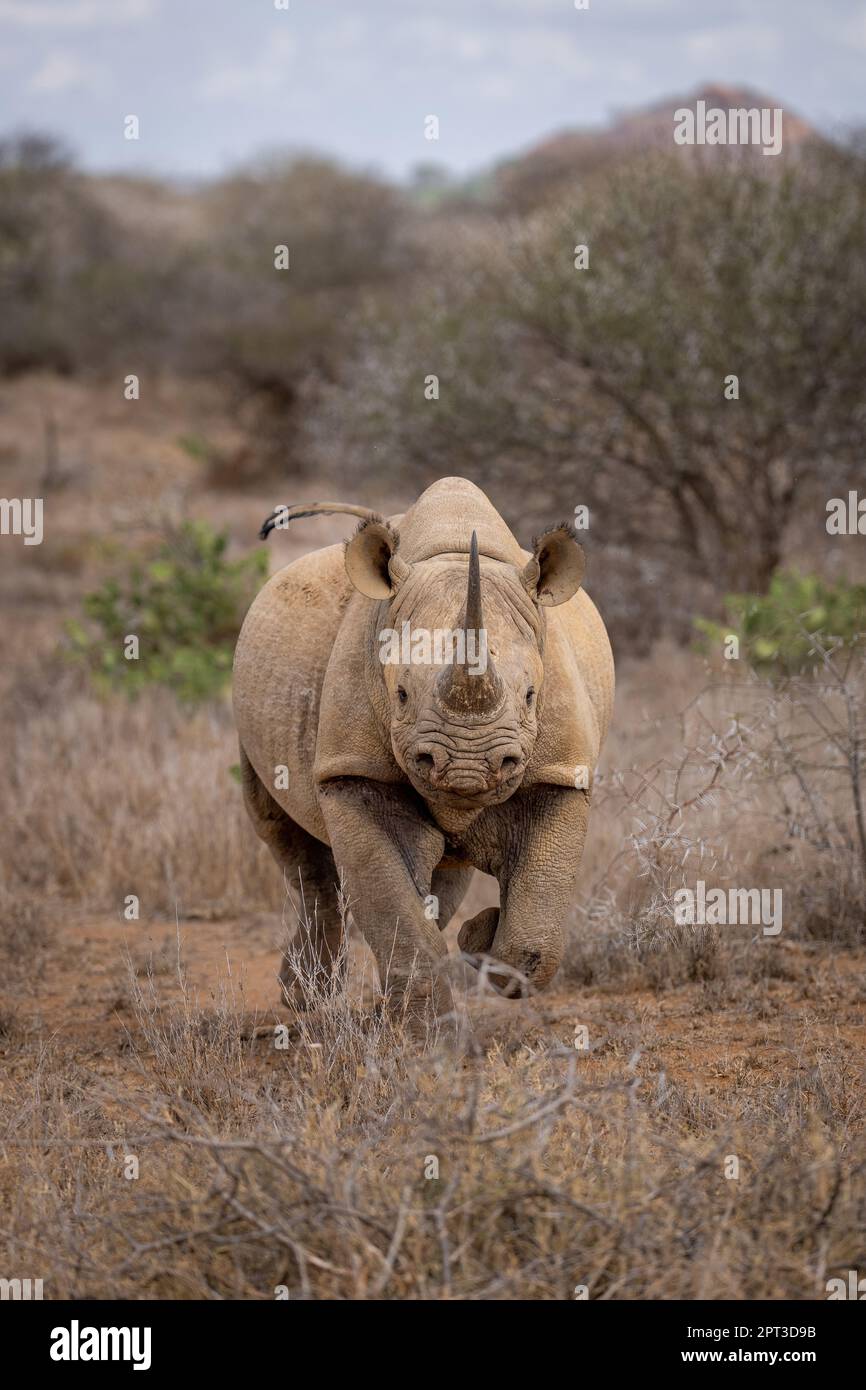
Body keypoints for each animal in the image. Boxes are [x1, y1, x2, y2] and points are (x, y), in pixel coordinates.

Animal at [233, 477, 614, 1032]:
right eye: (401, 695)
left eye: (530, 696)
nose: (466, 770)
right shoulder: (353, 773)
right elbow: (390, 900)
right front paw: (424, 1034)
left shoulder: (559, 772)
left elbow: (533, 936)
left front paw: (481, 938)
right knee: (287, 839)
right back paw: (306, 998)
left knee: (443, 876)